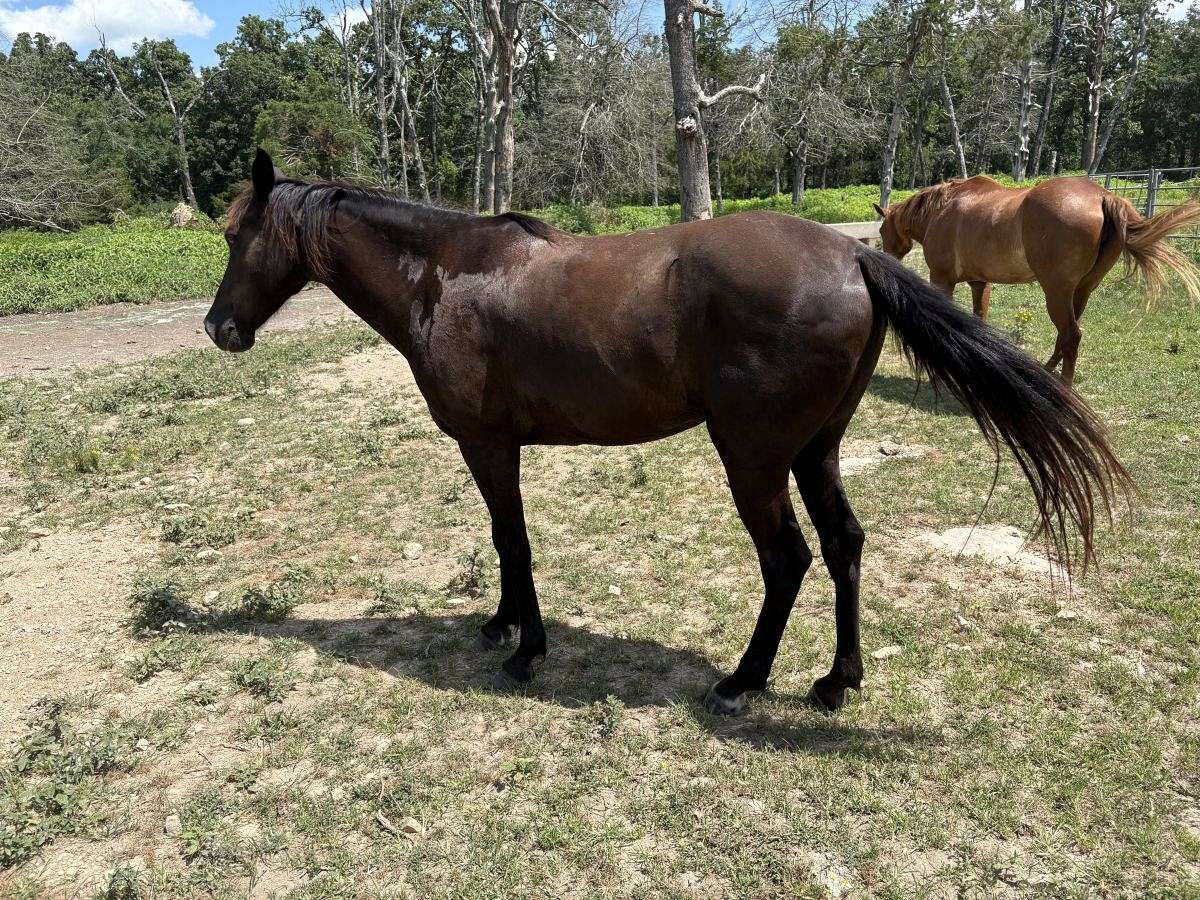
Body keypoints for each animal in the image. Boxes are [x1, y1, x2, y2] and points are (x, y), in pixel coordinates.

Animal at [205, 150, 1129, 716]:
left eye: (236, 235)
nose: (219, 328)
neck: (447, 275)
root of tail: (855, 258)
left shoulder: (488, 446)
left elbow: (513, 541)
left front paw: (525, 649)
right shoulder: (490, 449)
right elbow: (504, 543)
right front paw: (501, 625)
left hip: (754, 460)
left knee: (787, 560)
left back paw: (742, 681)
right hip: (815, 451)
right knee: (844, 545)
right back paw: (837, 681)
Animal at [874, 174, 1200, 384]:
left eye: (880, 230)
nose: (887, 257)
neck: (942, 210)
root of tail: (1102, 196)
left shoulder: (942, 281)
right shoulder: (981, 283)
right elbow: (978, 320)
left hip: (1056, 291)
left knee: (1071, 334)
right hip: (1080, 291)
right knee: (1067, 335)